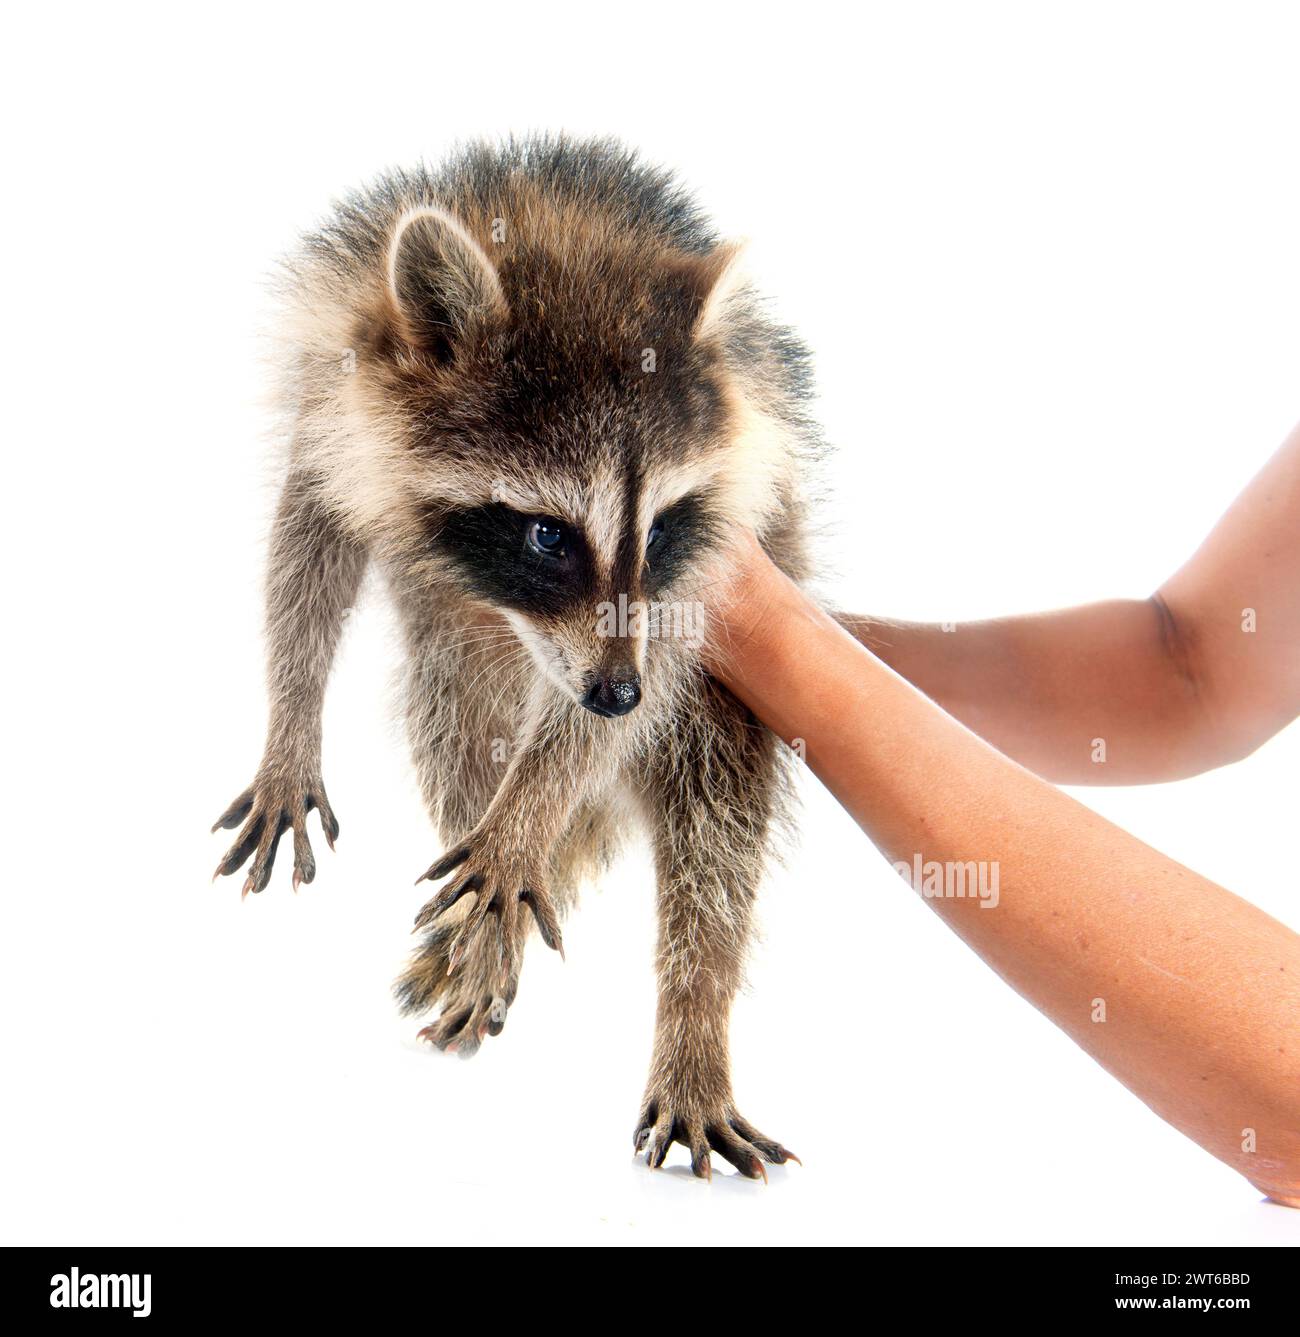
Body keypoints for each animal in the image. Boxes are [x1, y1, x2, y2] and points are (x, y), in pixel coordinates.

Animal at [212, 136, 822, 1179]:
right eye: (547, 535)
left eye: (659, 530)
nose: (615, 694)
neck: (565, 244)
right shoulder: (340, 378)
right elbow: (309, 541)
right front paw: (290, 720)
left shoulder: (712, 560)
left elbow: (647, 680)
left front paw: (527, 814)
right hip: (456, 676)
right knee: (455, 721)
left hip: (738, 689)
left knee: (715, 833)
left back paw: (688, 1013)